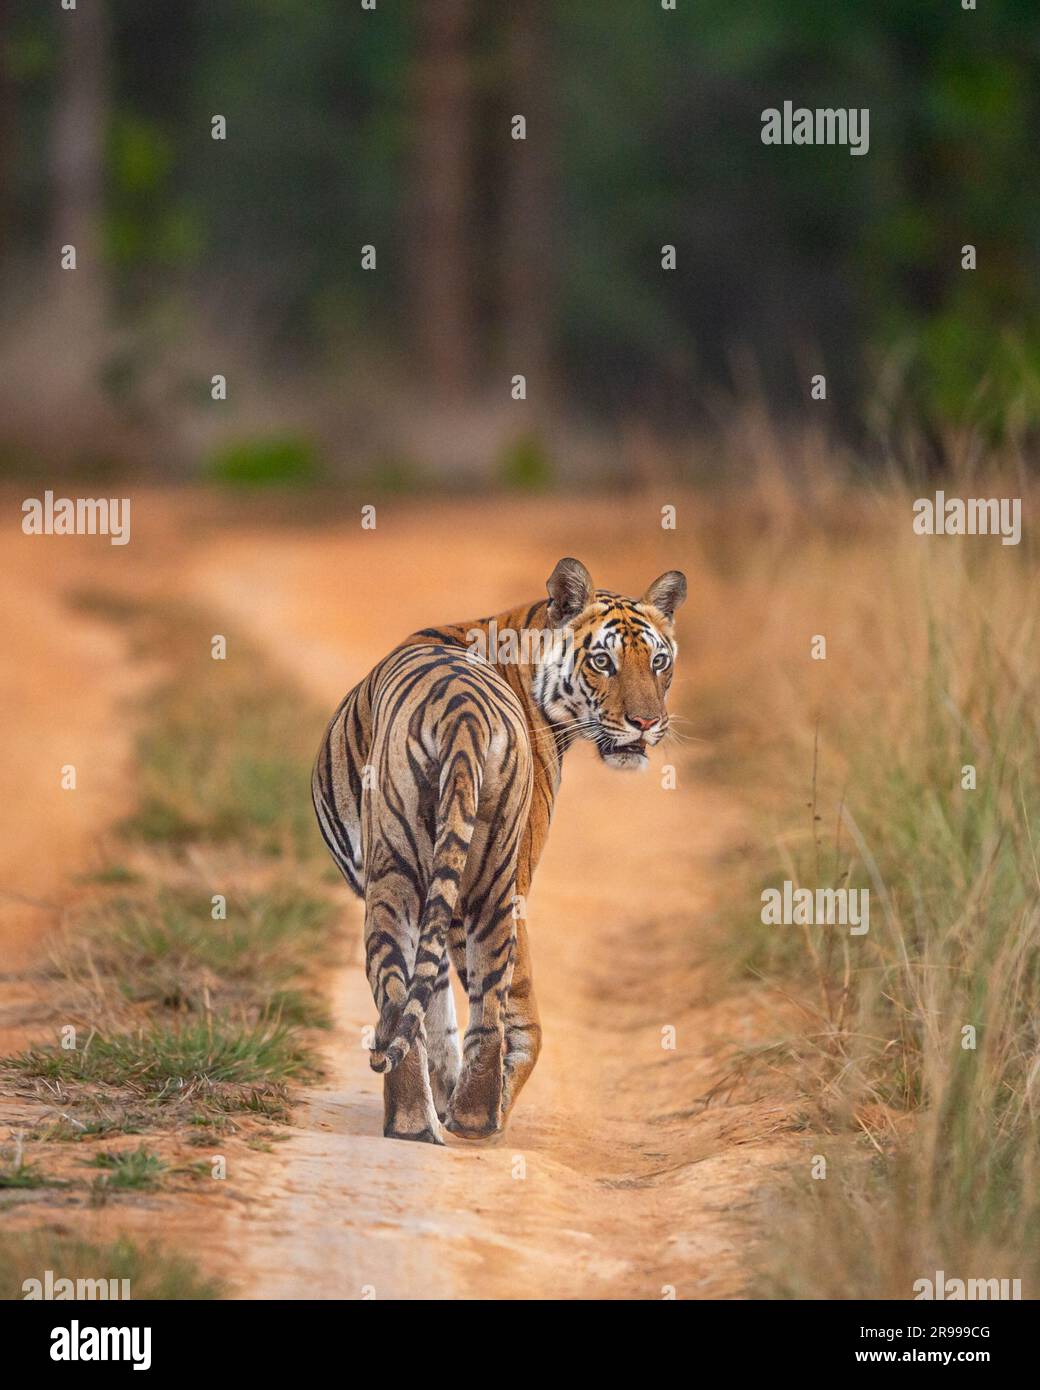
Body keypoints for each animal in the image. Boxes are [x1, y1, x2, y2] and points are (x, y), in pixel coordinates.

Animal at [312, 556, 687, 1143]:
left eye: (659, 661)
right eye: (602, 661)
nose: (646, 724)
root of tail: (462, 712)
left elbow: (434, 1004)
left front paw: (445, 1093)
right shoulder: (515, 879)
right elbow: (507, 1006)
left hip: (406, 881)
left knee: (410, 999)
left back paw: (423, 1122)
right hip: (479, 880)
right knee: (489, 1004)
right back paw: (476, 1118)